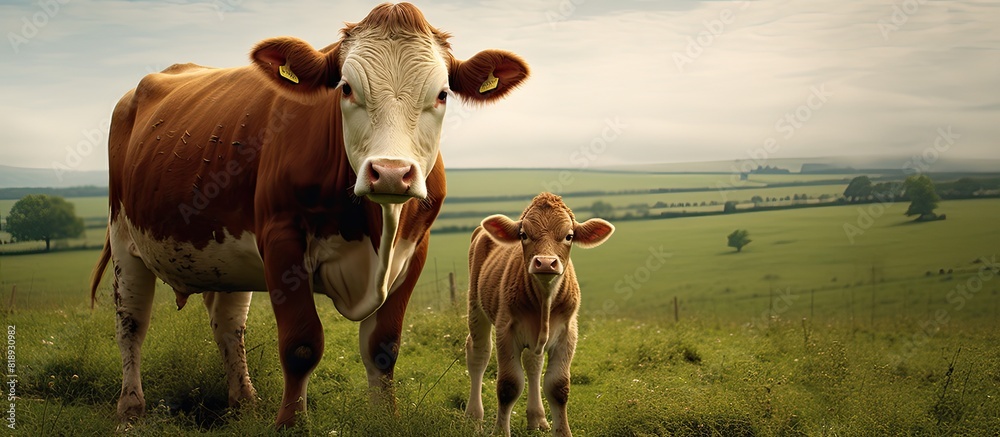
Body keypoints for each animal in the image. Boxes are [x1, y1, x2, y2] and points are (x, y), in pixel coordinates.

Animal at [88, 2, 529, 428]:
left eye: (442, 94)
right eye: (346, 88)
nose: (390, 172)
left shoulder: (415, 250)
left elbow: (384, 345)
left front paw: (386, 417)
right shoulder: (282, 238)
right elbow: (301, 344)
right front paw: (291, 422)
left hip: (224, 258)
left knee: (229, 324)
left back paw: (244, 402)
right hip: (123, 236)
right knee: (131, 323)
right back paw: (131, 408)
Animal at [465, 193, 615, 437]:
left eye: (569, 236)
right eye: (523, 235)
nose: (545, 262)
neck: (544, 300)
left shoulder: (567, 332)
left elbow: (558, 386)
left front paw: (562, 431)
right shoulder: (505, 329)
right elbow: (508, 385)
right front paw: (500, 431)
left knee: (533, 362)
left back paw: (537, 418)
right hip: (475, 305)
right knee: (479, 353)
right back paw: (473, 417)